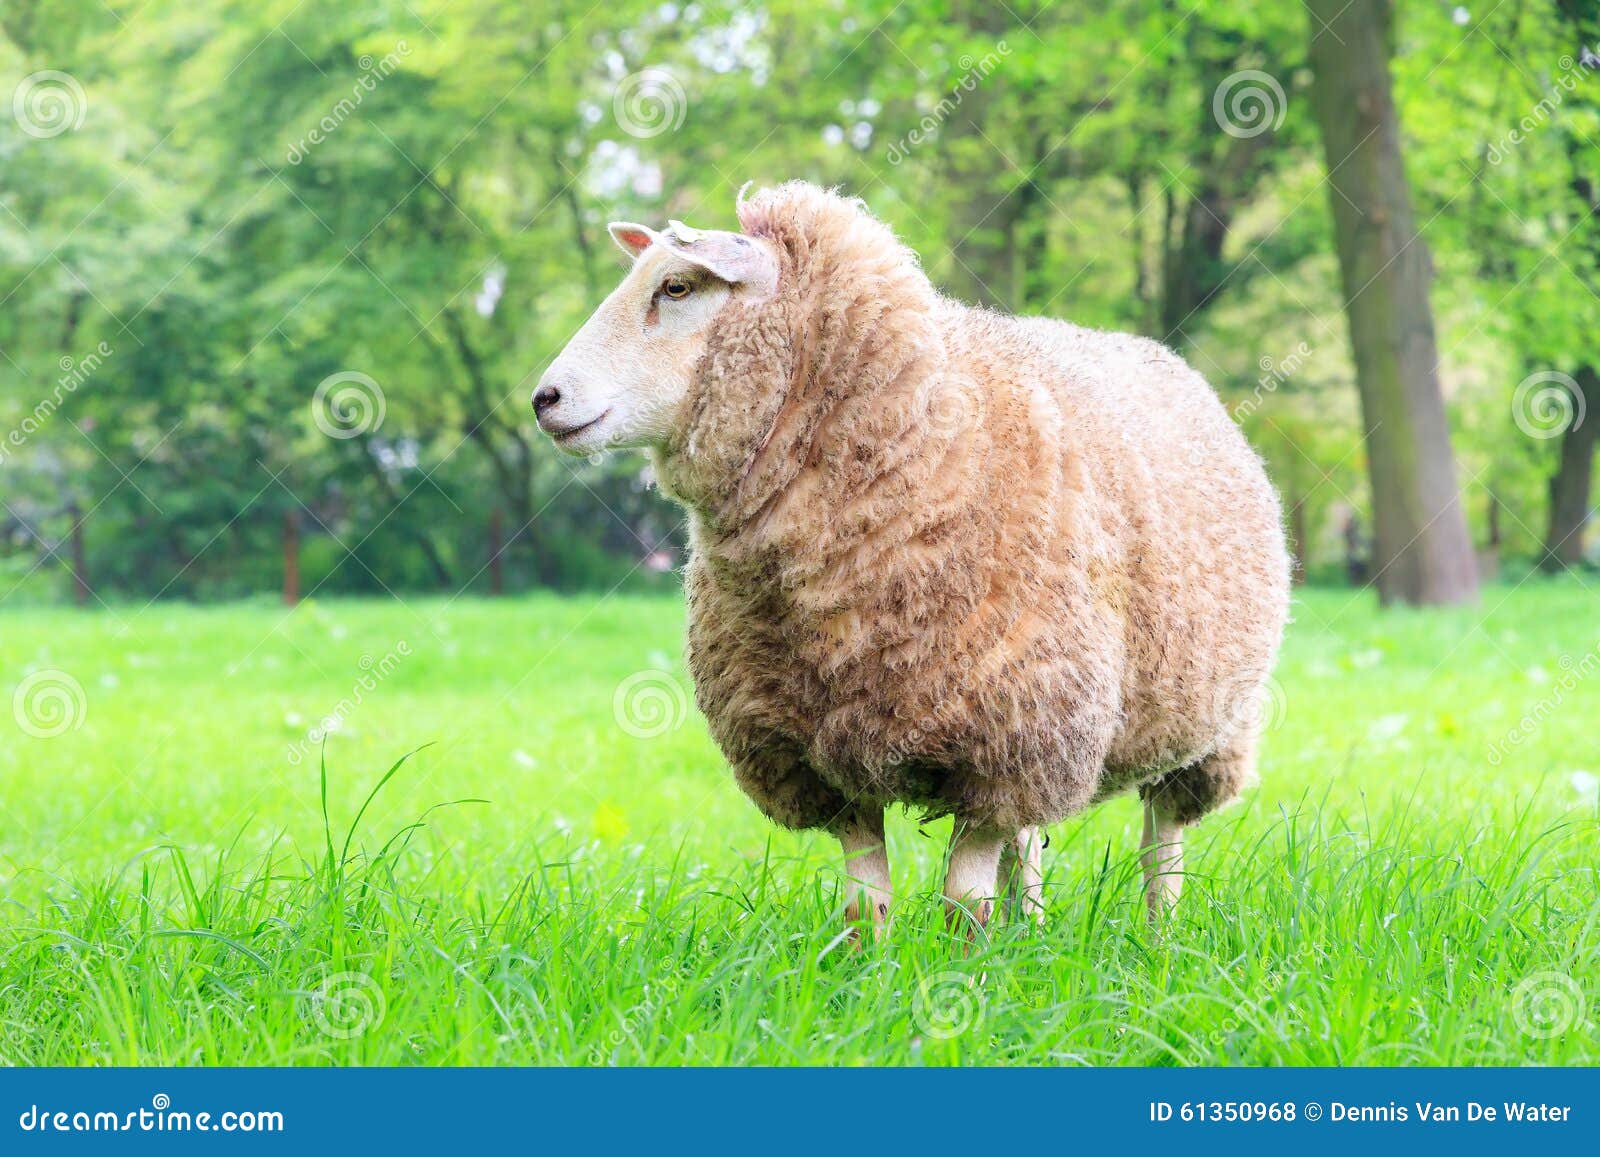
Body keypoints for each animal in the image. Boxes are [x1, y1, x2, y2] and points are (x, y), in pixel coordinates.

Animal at [535, 182, 1291, 933]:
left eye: (678, 285)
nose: (545, 398)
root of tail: (1164, 355)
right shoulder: (817, 757)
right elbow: (864, 907)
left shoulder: (1004, 743)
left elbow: (963, 908)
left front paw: (970, 963)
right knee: (1029, 844)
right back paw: (1032, 929)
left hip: (1200, 725)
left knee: (1162, 837)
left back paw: (1161, 934)